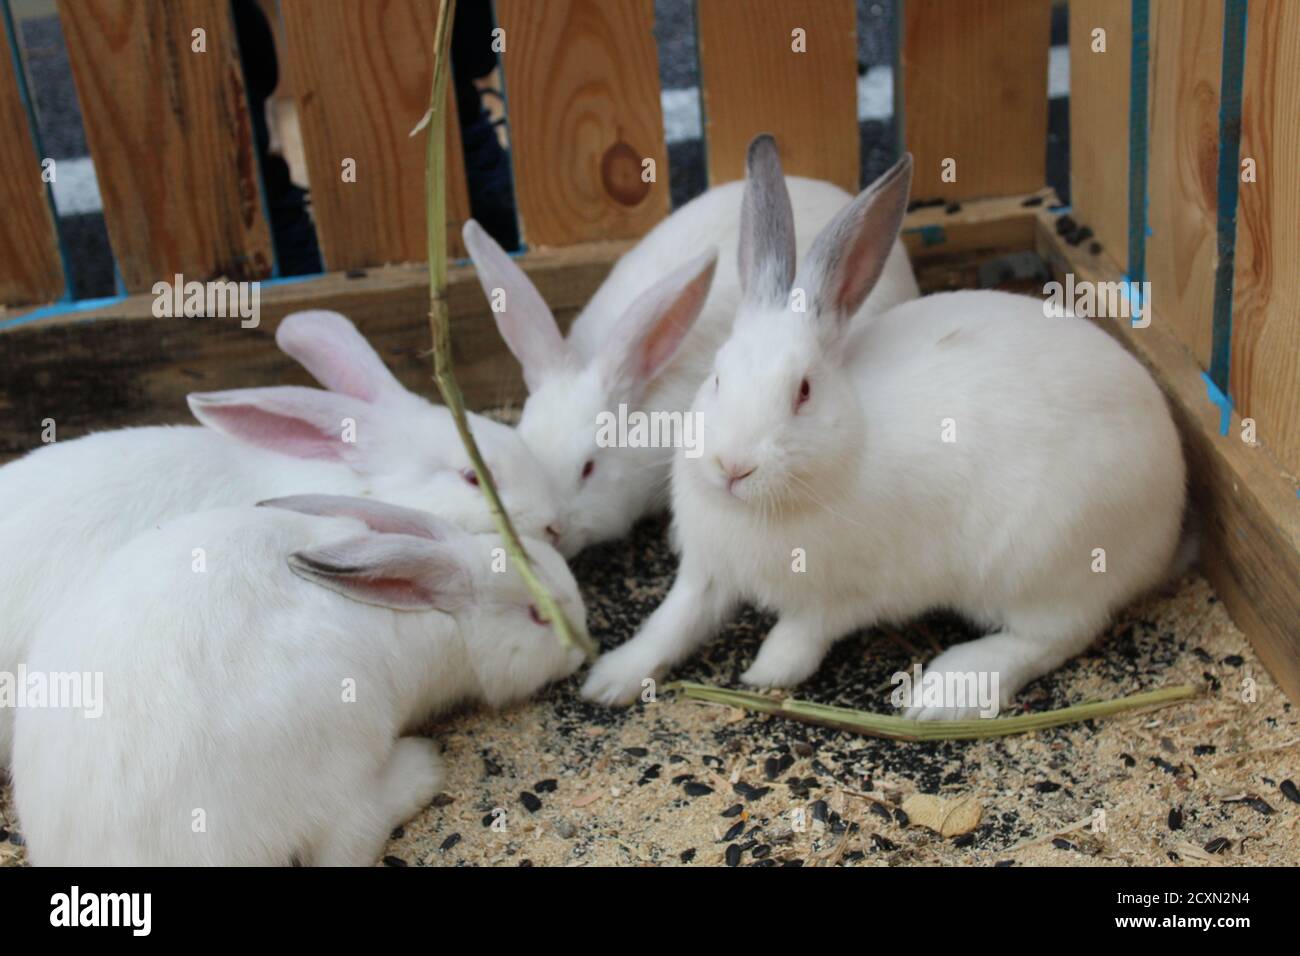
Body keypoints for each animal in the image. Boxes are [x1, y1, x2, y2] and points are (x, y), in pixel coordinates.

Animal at [12, 494, 586, 866]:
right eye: (538, 615)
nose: (582, 647)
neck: (435, 612)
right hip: (342, 748)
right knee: (351, 837)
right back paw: (421, 767)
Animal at [581, 136, 1188, 718]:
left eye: (803, 392)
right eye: (715, 377)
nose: (733, 467)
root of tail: (1173, 502)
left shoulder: (856, 592)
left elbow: (805, 631)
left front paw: (765, 673)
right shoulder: (706, 572)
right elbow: (672, 621)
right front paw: (608, 680)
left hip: (1043, 560)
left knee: (1056, 635)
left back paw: (945, 694)